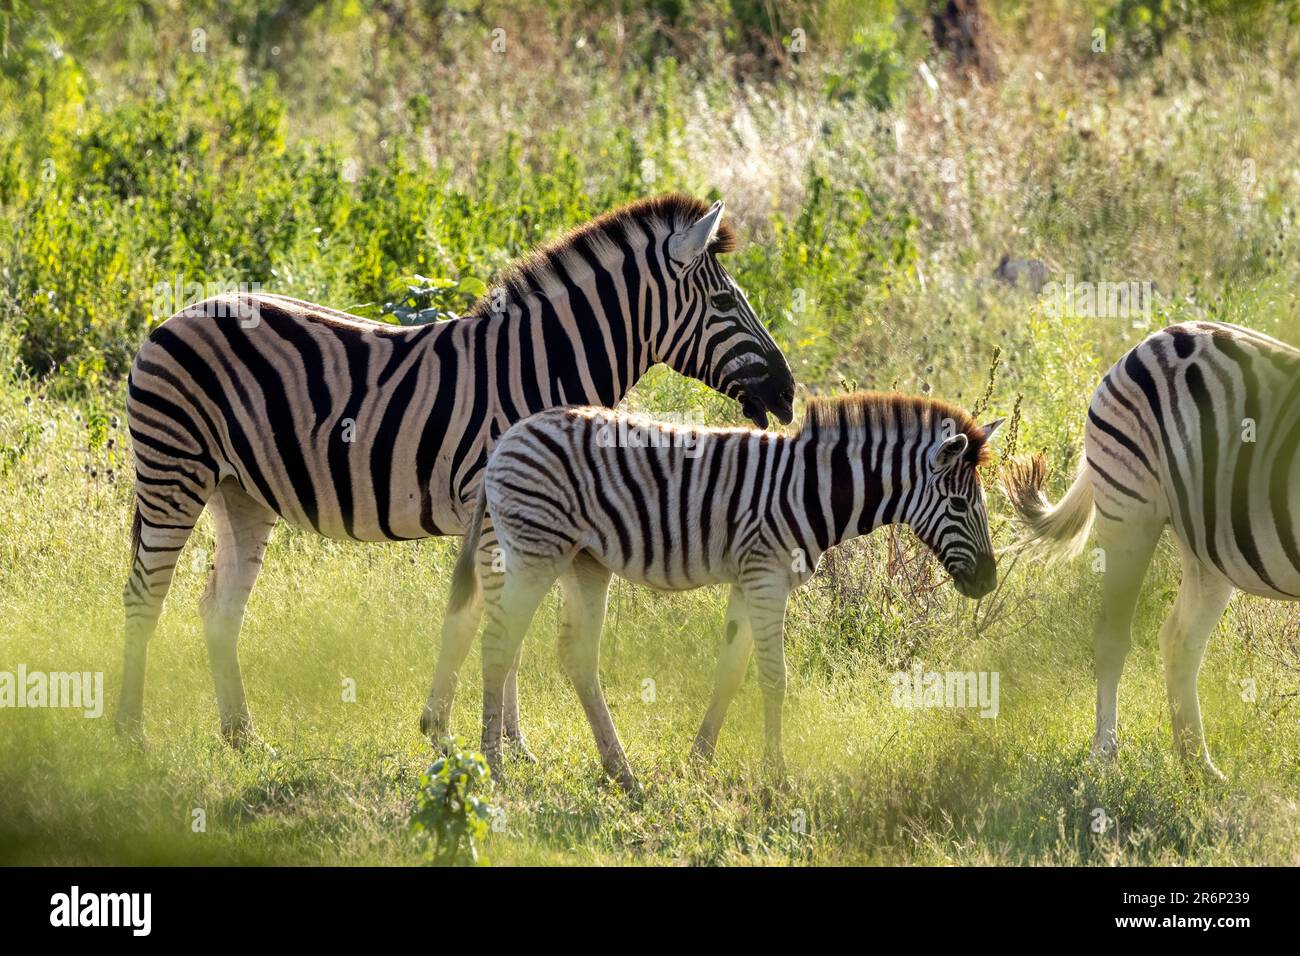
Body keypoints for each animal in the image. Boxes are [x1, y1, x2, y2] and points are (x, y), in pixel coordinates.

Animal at [118, 194, 796, 749]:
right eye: (723, 302)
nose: (789, 395)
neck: (541, 367)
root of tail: (172, 315)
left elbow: (483, 619)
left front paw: (462, 732)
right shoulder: (506, 510)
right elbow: (499, 622)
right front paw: (501, 744)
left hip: (241, 494)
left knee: (219, 609)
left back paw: (243, 738)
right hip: (173, 471)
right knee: (143, 597)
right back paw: (133, 736)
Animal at [449, 393, 1003, 789]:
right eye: (959, 504)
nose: (988, 582)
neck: (810, 491)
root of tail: (507, 438)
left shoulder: (746, 580)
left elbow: (729, 674)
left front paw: (699, 761)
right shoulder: (766, 576)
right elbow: (774, 679)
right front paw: (777, 776)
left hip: (583, 562)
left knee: (574, 654)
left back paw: (622, 773)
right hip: (536, 550)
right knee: (498, 644)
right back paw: (495, 770)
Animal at [1001, 321, 1300, 777]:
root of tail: (1158, 335)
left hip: (1209, 544)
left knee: (1180, 640)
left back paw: (1198, 769)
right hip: (1129, 508)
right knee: (1112, 636)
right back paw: (1105, 758)